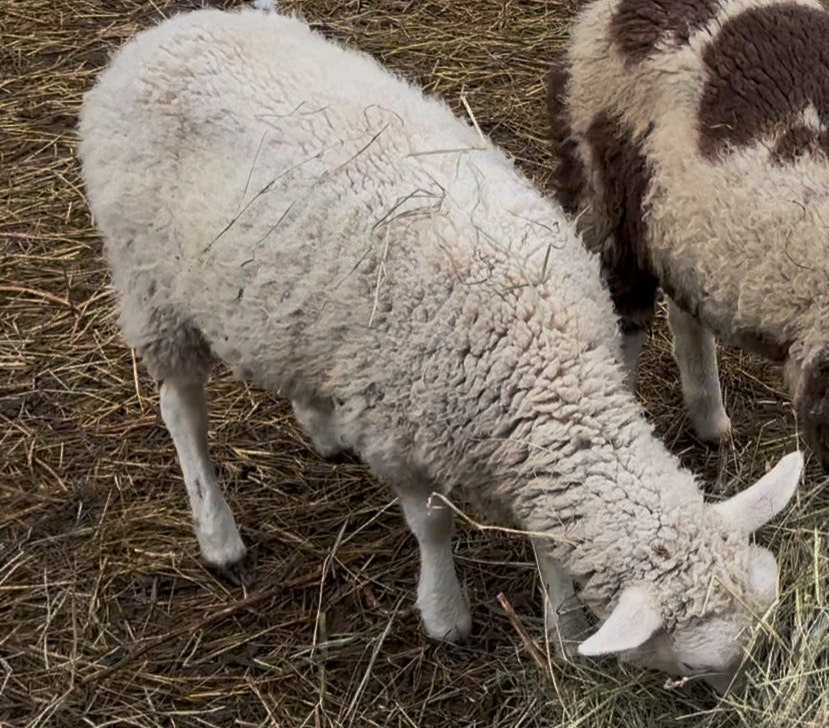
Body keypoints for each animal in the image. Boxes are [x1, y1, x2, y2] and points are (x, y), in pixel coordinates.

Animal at [77, 6, 802, 693]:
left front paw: (562, 630)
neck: (543, 359)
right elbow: (430, 526)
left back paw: (320, 426)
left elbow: (546, 543)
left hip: (284, 311)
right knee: (181, 409)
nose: (745, 697)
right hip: (152, 287)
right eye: (702, 666)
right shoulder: (401, 436)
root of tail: (167, 32)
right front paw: (445, 614)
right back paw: (218, 535)